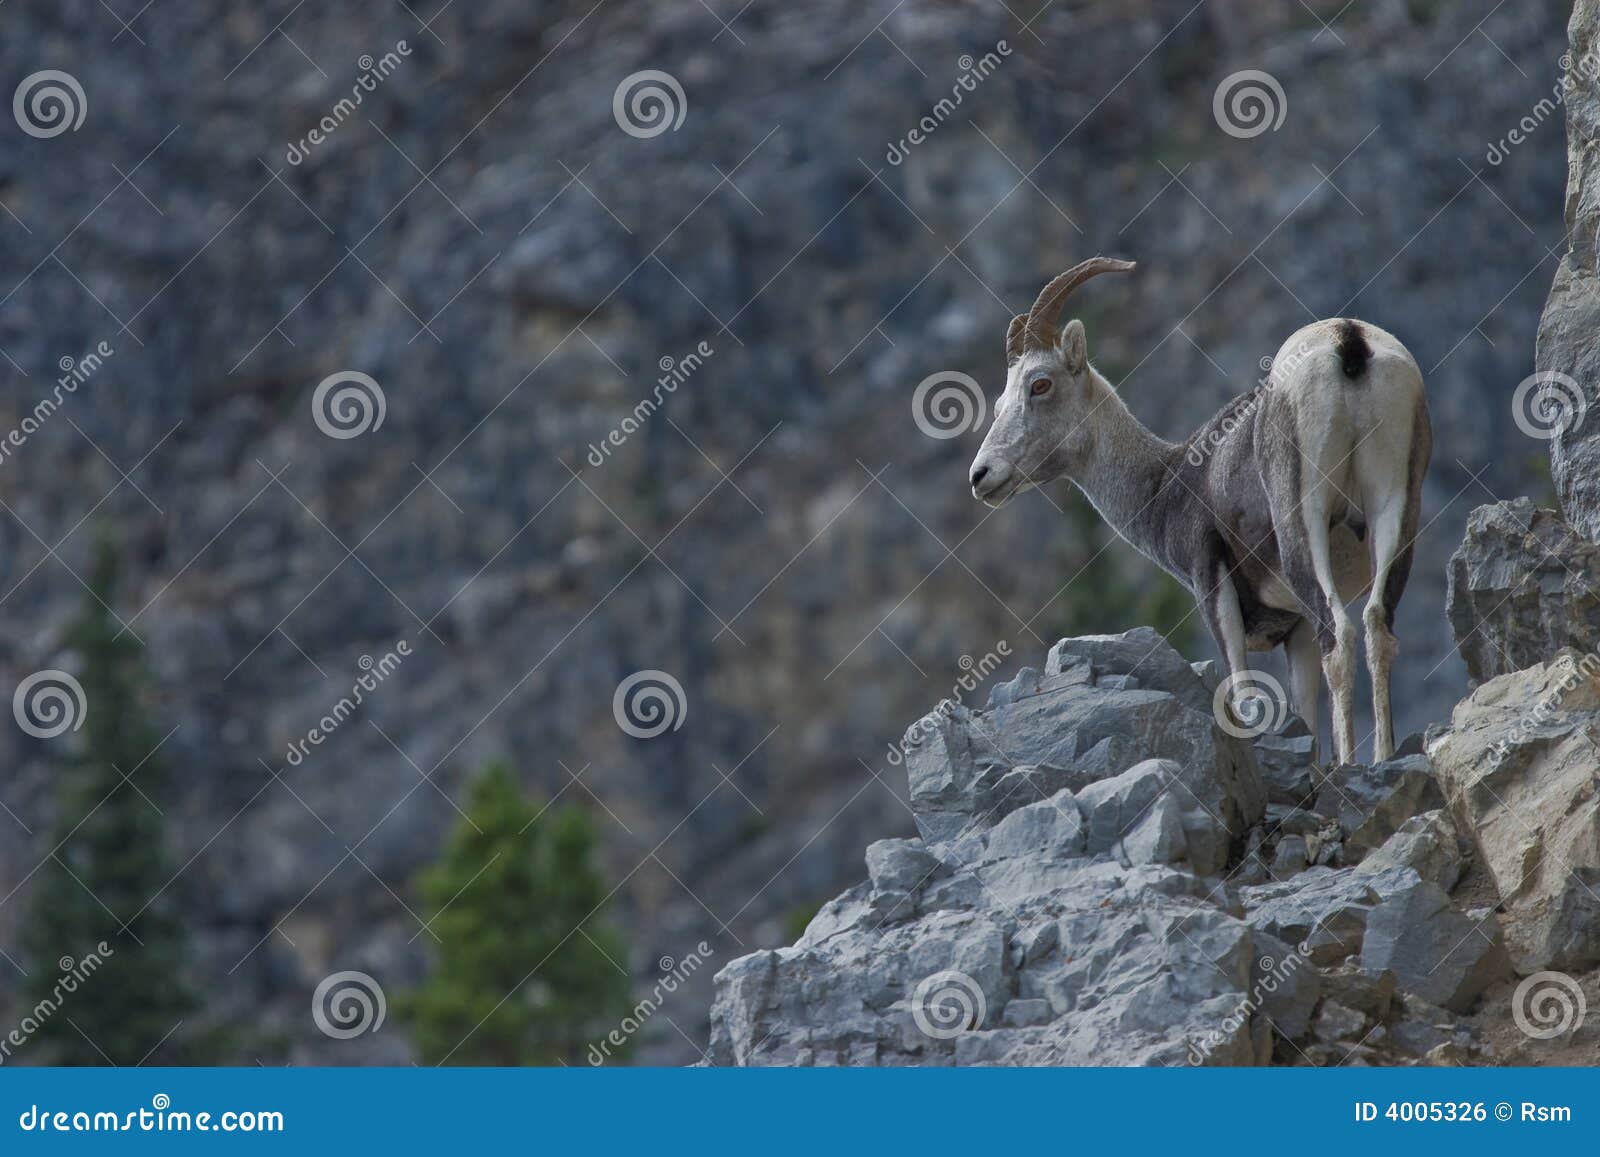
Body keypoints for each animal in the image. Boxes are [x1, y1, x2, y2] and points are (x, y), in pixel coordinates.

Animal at [967, 257, 1431, 765]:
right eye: (1000, 401)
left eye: (1040, 384)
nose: (981, 476)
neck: (1171, 480)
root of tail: (1348, 341)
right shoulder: (1296, 631)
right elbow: (1305, 713)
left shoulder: (1213, 585)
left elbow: (1244, 696)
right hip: (1394, 508)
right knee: (1376, 626)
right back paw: (1384, 758)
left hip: (1302, 524)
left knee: (1341, 633)